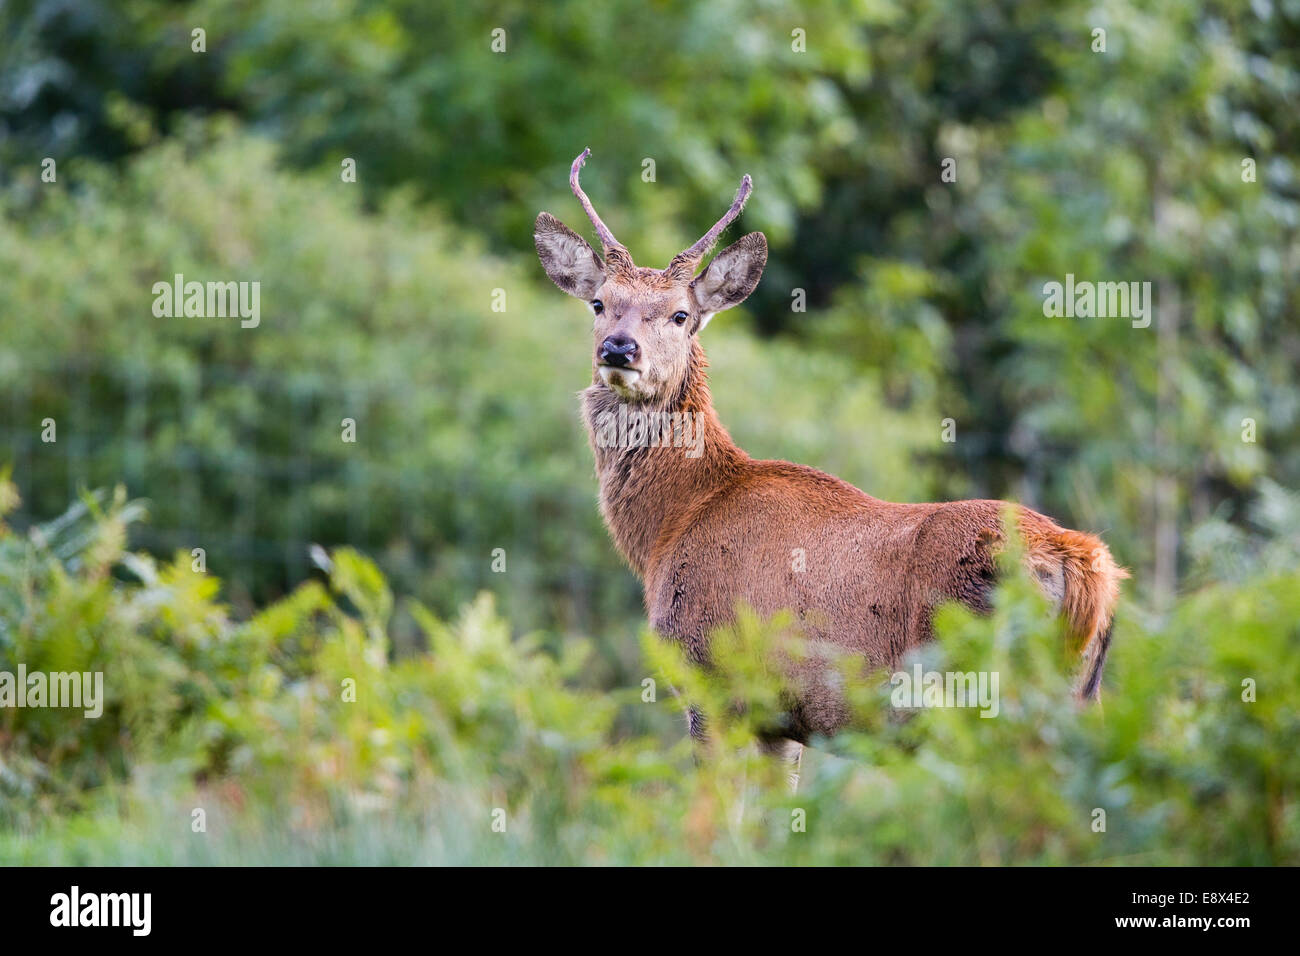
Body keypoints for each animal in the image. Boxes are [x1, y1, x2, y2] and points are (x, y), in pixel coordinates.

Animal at [535, 149, 1127, 779]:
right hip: (1082, 694)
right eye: (599, 303)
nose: (619, 348)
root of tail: (1086, 566)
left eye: (678, 315)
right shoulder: (780, 722)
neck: (670, 524)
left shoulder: (712, 681)